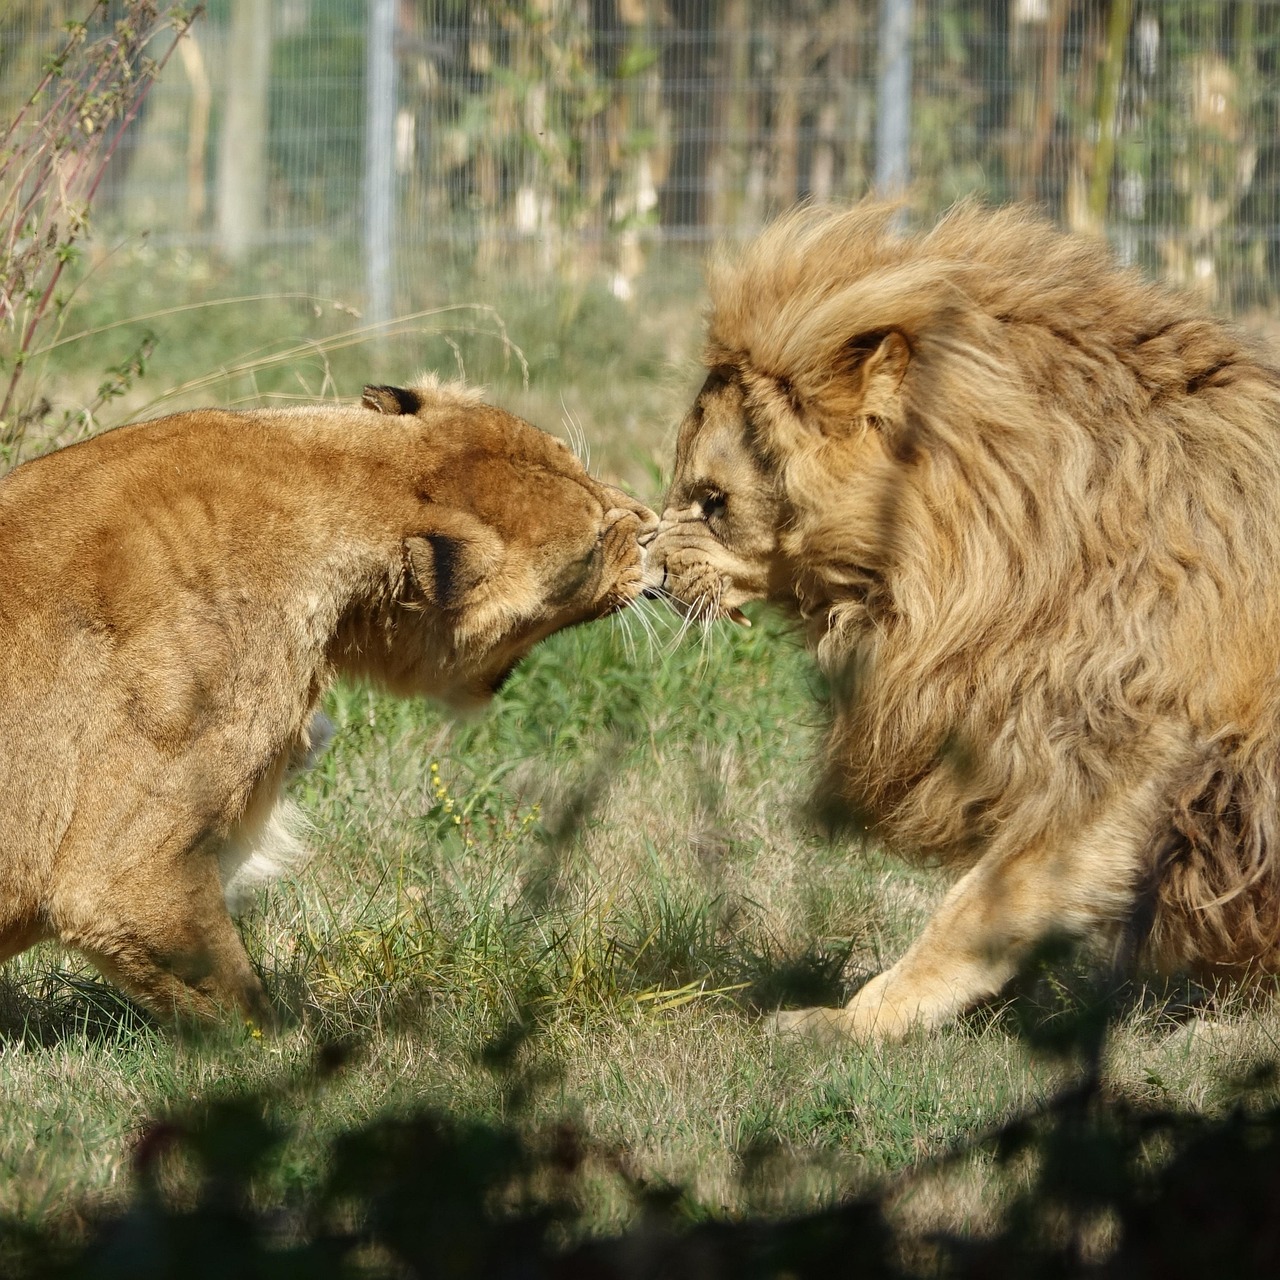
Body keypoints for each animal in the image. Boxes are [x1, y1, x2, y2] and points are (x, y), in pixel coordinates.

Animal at [0, 377, 655, 1025]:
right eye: (594, 546)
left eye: (578, 464)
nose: (652, 528)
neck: (335, 482)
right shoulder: (119, 874)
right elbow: (243, 1009)